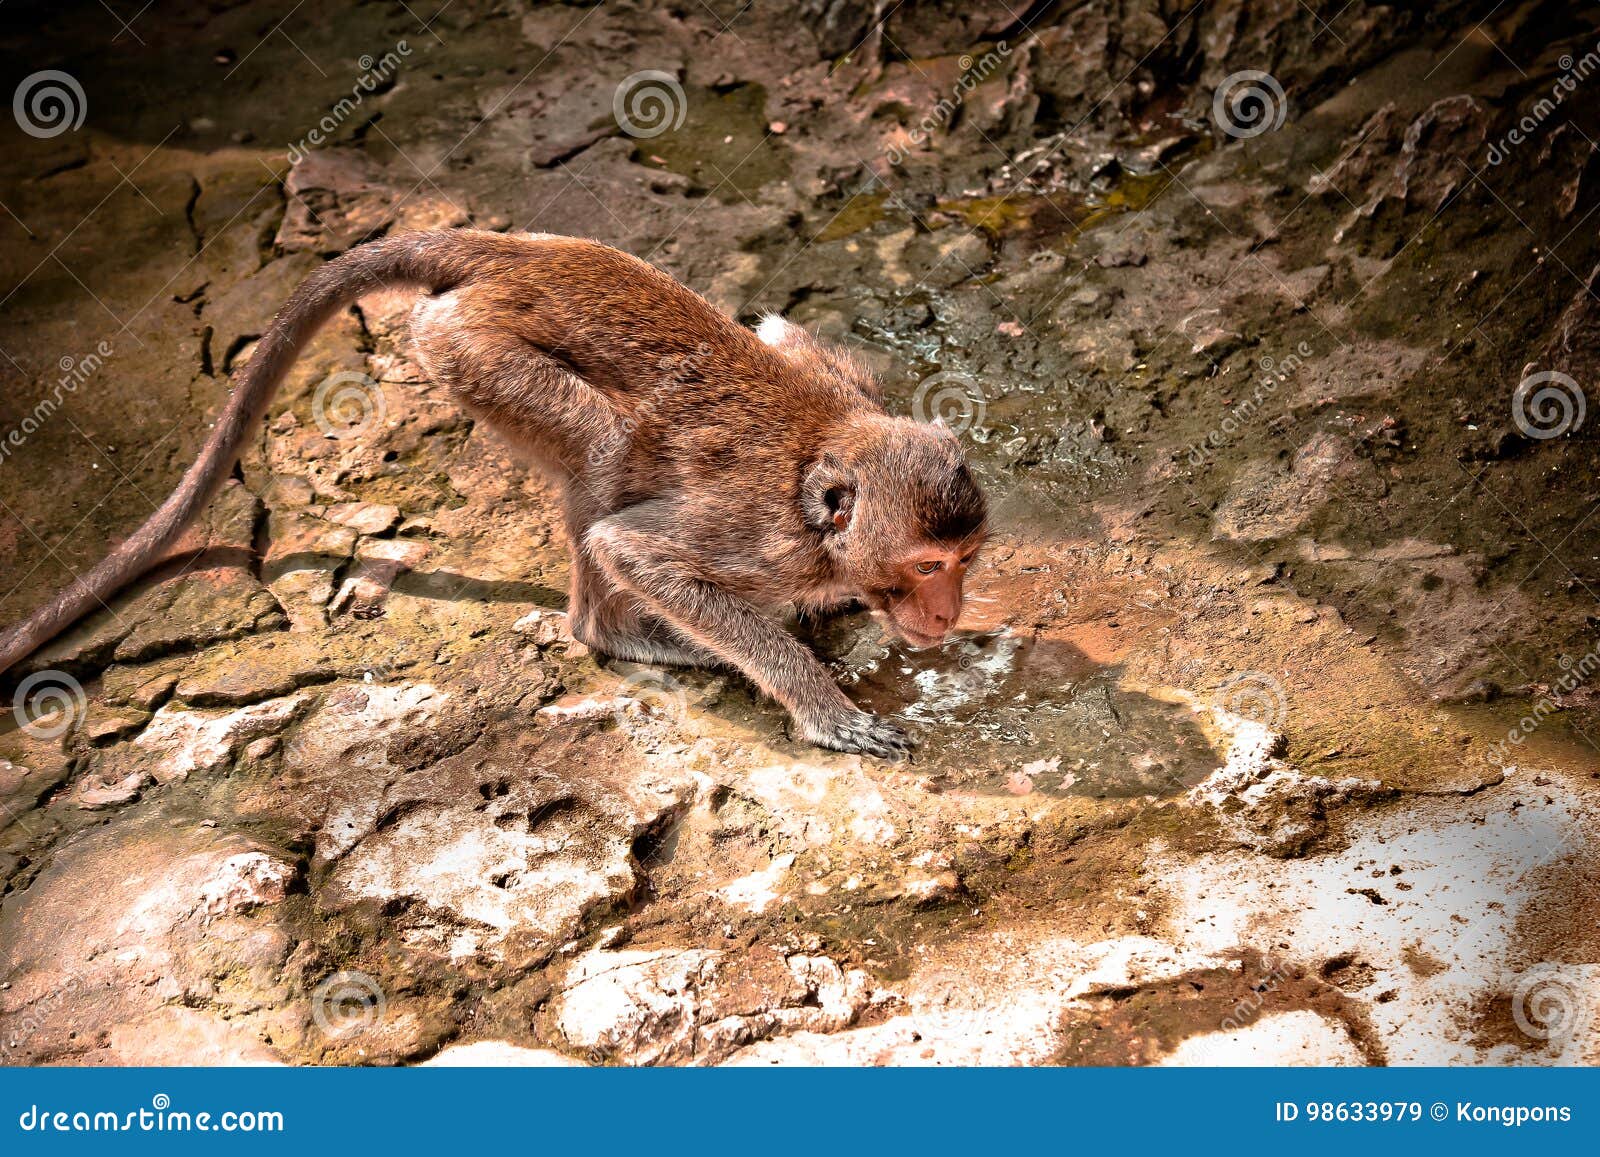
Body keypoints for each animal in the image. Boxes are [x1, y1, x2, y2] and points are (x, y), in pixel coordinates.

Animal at [0, 230, 987, 757]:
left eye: (964, 561)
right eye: (926, 565)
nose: (947, 614)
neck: (823, 504)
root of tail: (506, 249)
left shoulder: (847, 387)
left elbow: (779, 328)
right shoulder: (758, 537)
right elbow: (632, 547)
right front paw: (821, 705)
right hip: (465, 343)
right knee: (605, 447)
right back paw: (615, 632)